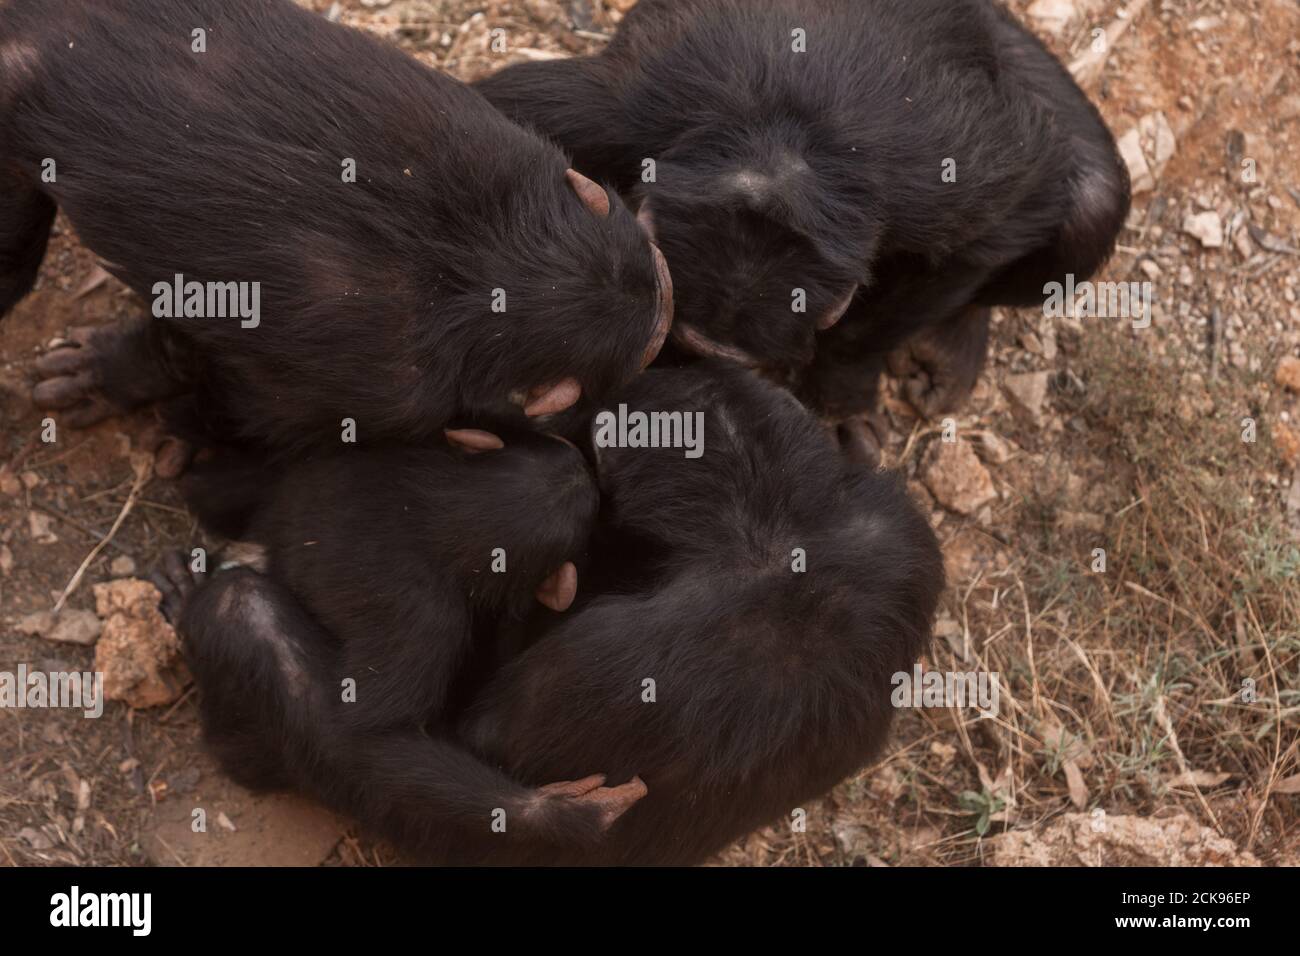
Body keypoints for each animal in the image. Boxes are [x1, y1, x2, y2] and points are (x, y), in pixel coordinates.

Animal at [155, 426, 646, 864]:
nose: (584, 463)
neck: (443, 515)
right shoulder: (427, 621)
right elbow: (378, 730)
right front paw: (555, 815)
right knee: (243, 606)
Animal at [474, 0, 1128, 425]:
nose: (683, 368)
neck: (788, 146)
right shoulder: (609, 110)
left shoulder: (955, 176)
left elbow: (1017, 203)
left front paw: (840, 391)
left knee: (1091, 206)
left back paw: (956, 338)